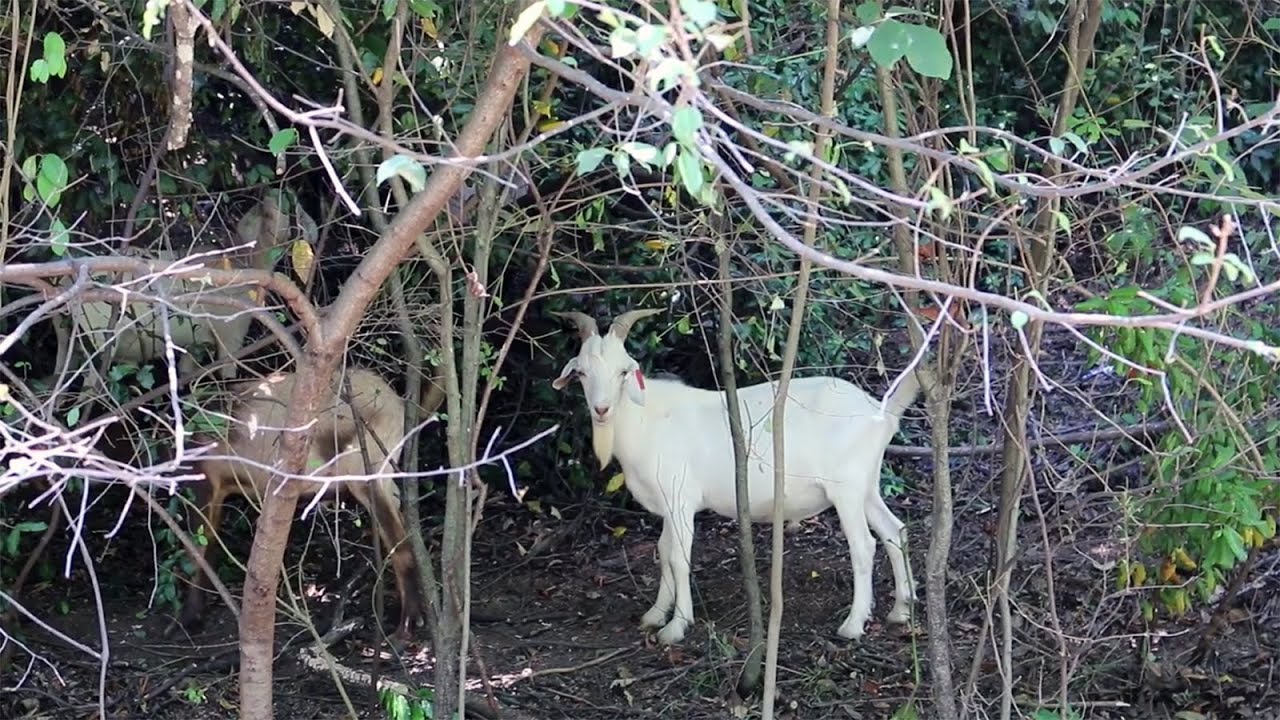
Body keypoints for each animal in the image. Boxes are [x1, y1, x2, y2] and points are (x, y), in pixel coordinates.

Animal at [56, 194, 315, 383]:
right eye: (292, 212)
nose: (313, 232)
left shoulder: (195, 342)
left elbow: (187, 375)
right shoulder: (230, 334)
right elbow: (228, 377)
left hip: (71, 338)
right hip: (101, 337)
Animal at [174, 367, 443, 641]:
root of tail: (398, 404)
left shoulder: (204, 482)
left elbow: (197, 551)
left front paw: (187, 620)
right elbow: (210, 547)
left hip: (366, 471)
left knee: (400, 542)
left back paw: (407, 626)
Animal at [551, 308, 920, 645]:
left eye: (623, 371)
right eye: (581, 372)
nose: (601, 410)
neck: (647, 419)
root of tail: (881, 413)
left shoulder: (680, 498)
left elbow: (678, 558)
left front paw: (677, 626)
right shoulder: (668, 505)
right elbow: (663, 550)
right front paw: (655, 614)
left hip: (846, 489)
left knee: (864, 545)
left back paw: (853, 624)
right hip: (866, 485)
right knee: (894, 531)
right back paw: (901, 609)